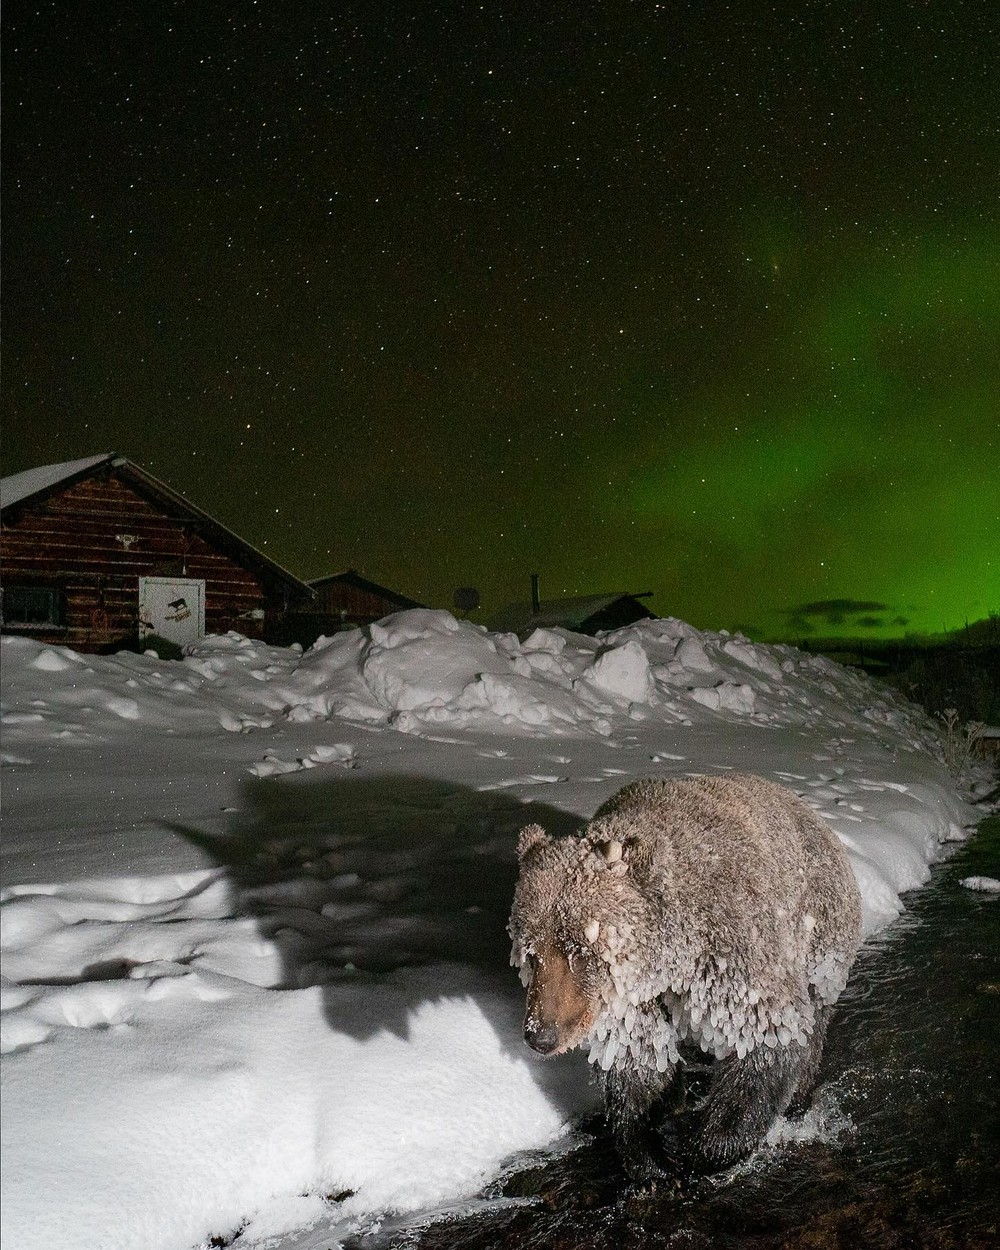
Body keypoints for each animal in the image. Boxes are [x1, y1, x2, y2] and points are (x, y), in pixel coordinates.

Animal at [508, 773, 862, 1182]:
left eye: (580, 950)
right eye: (530, 952)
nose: (540, 1036)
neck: (667, 960)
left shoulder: (728, 950)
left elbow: (767, 1036)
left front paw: (693, 1142)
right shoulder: (629, 1002)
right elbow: (639, 1059)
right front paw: (647, 1149)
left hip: (820, 937)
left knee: (814, 1023)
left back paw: (797, 1101)